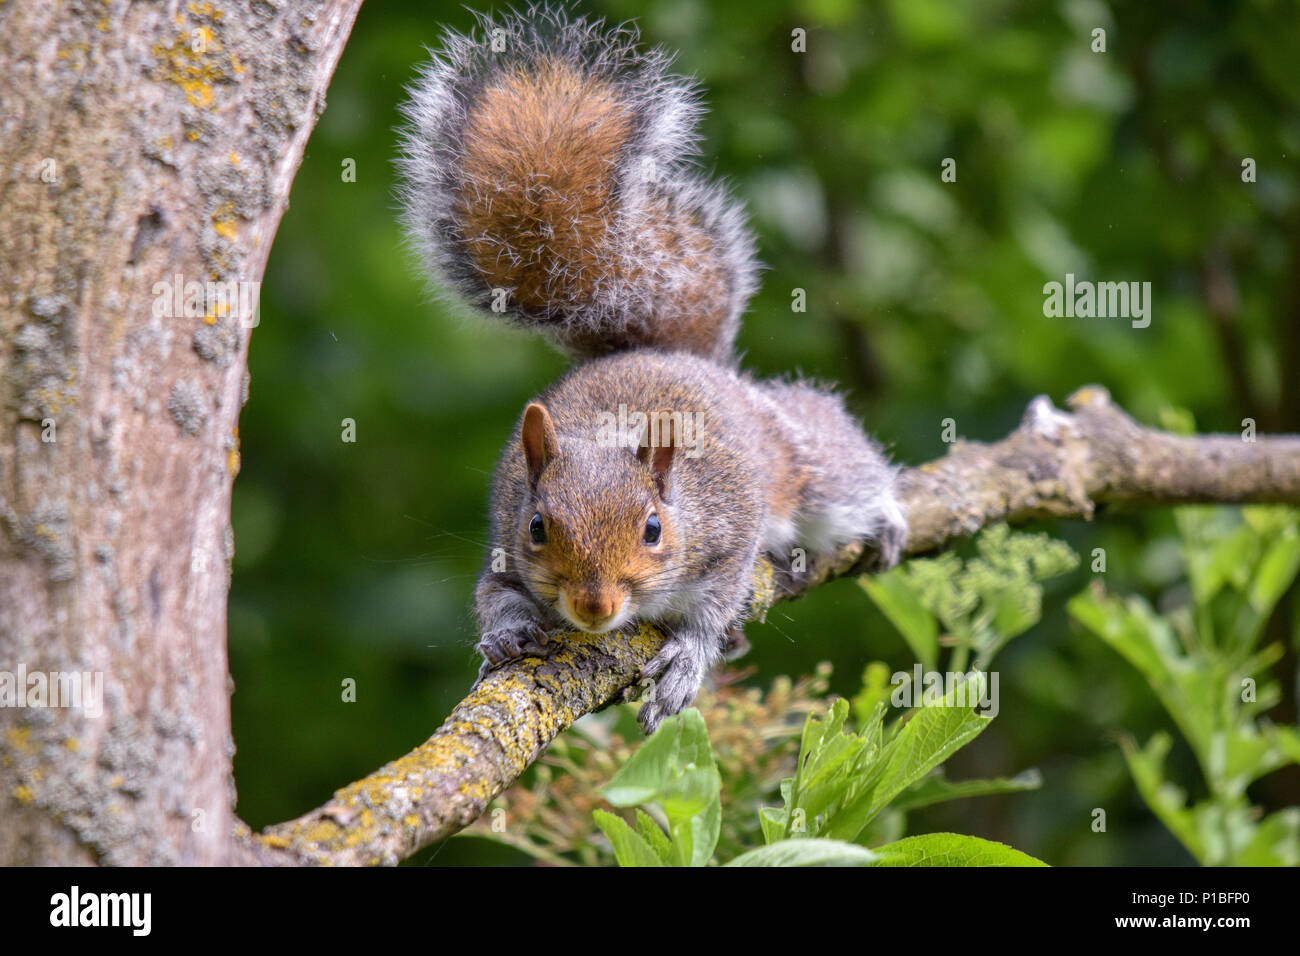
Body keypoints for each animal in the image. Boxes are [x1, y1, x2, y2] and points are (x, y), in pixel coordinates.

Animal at [399, 5, 907, 733]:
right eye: (537, 527)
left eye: (653, 529)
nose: (594, 607)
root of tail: (672, 354)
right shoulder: (504, 546)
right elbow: (494, 595)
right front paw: (504, 633)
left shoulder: (727, 540)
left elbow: (712, 609)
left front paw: (688, 660)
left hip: (802, 463)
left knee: (840, 472)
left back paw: (886, 514)